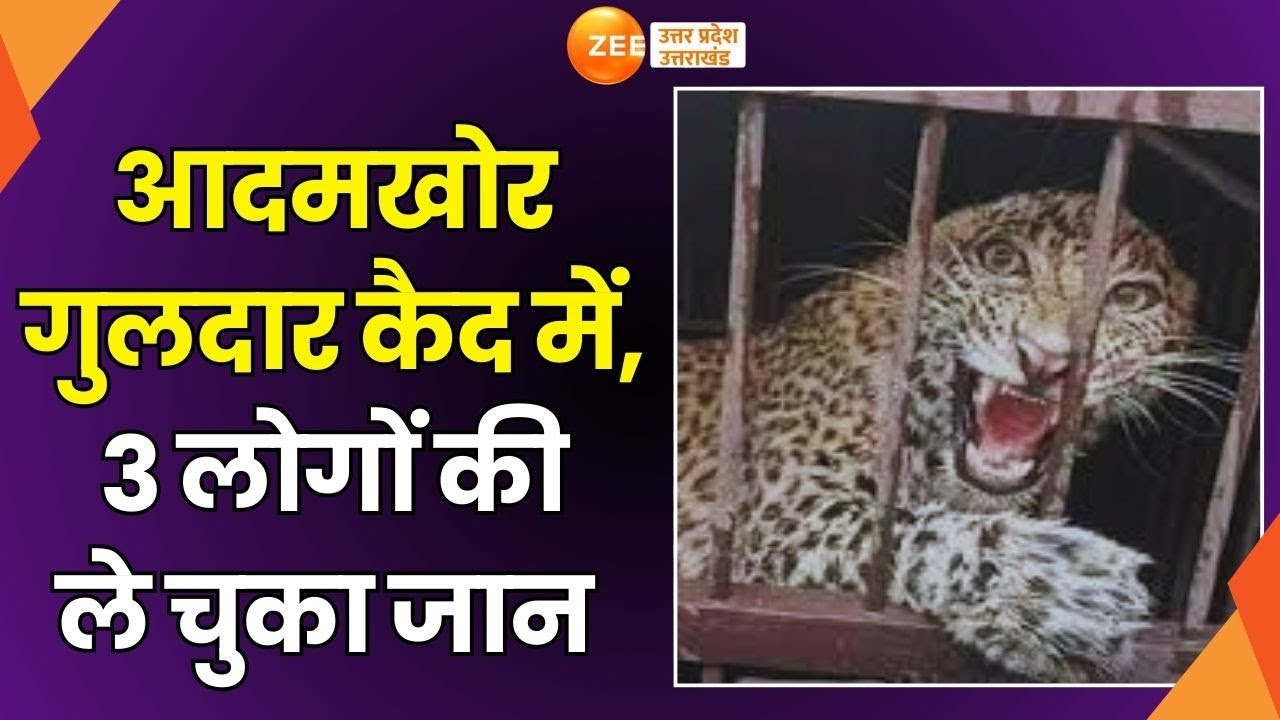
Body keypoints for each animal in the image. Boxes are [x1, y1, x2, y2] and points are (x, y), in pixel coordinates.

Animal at [676, 188, 1225, 682]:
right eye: (1003, 259)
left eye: (1129, 298)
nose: (1047, 359)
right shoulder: (782, 517)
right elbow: (895, 530)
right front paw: (1056, 585)